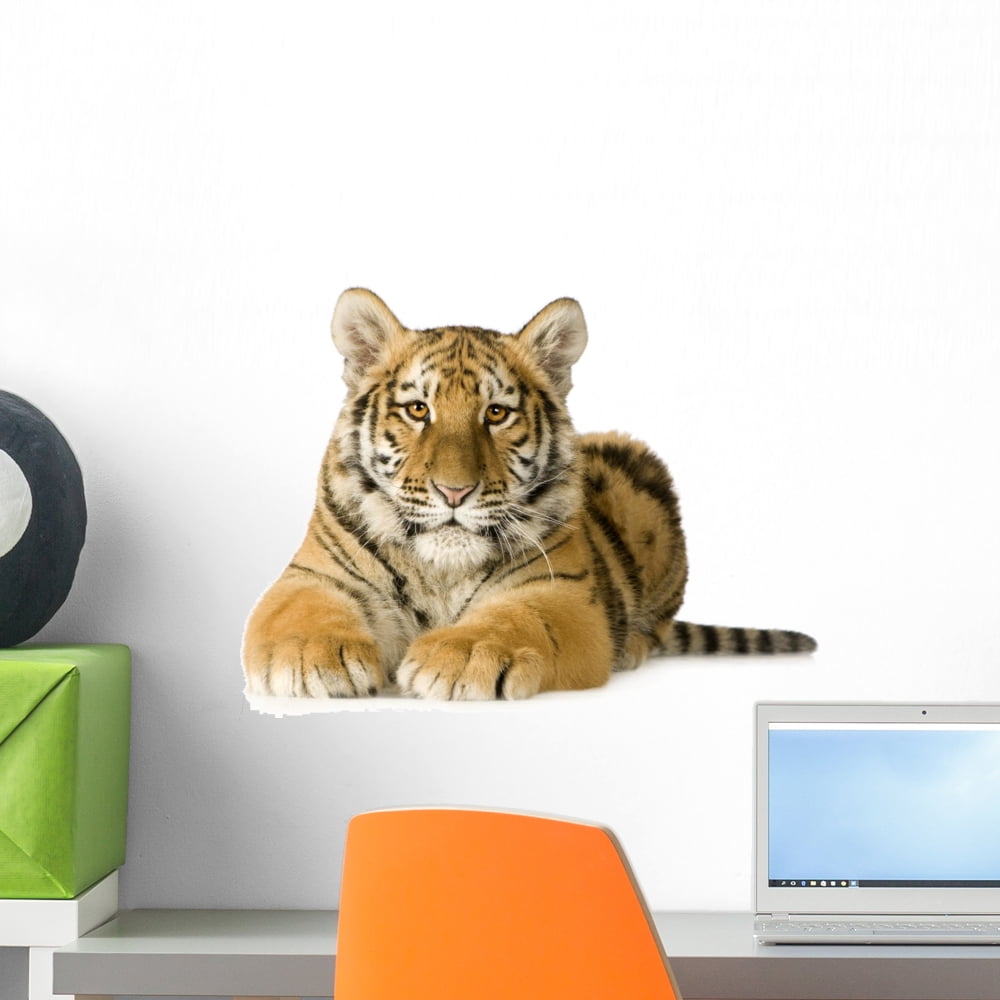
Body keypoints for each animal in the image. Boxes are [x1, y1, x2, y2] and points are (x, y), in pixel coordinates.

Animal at [241, 288, 816, 700]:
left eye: (496, 413)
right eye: (418, 409)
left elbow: (512, 619)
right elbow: (300, 611)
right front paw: (314, 658)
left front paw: (460, 658)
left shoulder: (560, 592)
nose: (454, 491)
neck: (440, 570)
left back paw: (631, 647)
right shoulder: (311, 574)